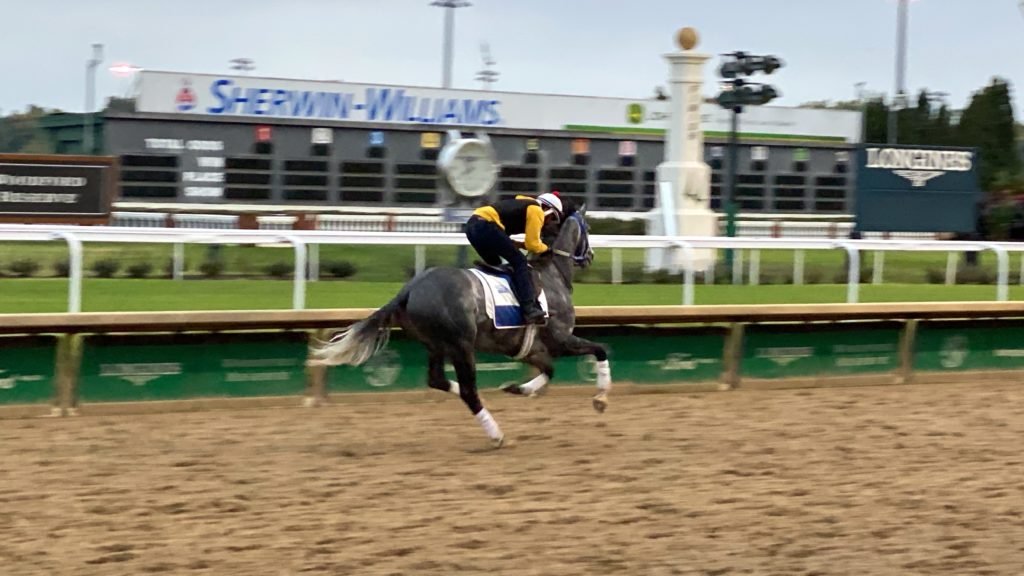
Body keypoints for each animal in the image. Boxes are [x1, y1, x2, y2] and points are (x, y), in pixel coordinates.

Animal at [307, 203, 610, 446]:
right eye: (587, 227)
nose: (591, 256)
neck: (552, 274)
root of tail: (410, 289)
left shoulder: (531, 349)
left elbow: (549, 371)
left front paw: (516, 388)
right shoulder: (560, 340)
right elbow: (600, 350)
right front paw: (601, 399)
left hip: (435, 345)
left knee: (438, 380)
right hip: (461, 344)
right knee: (468, 390)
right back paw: (496, 434)